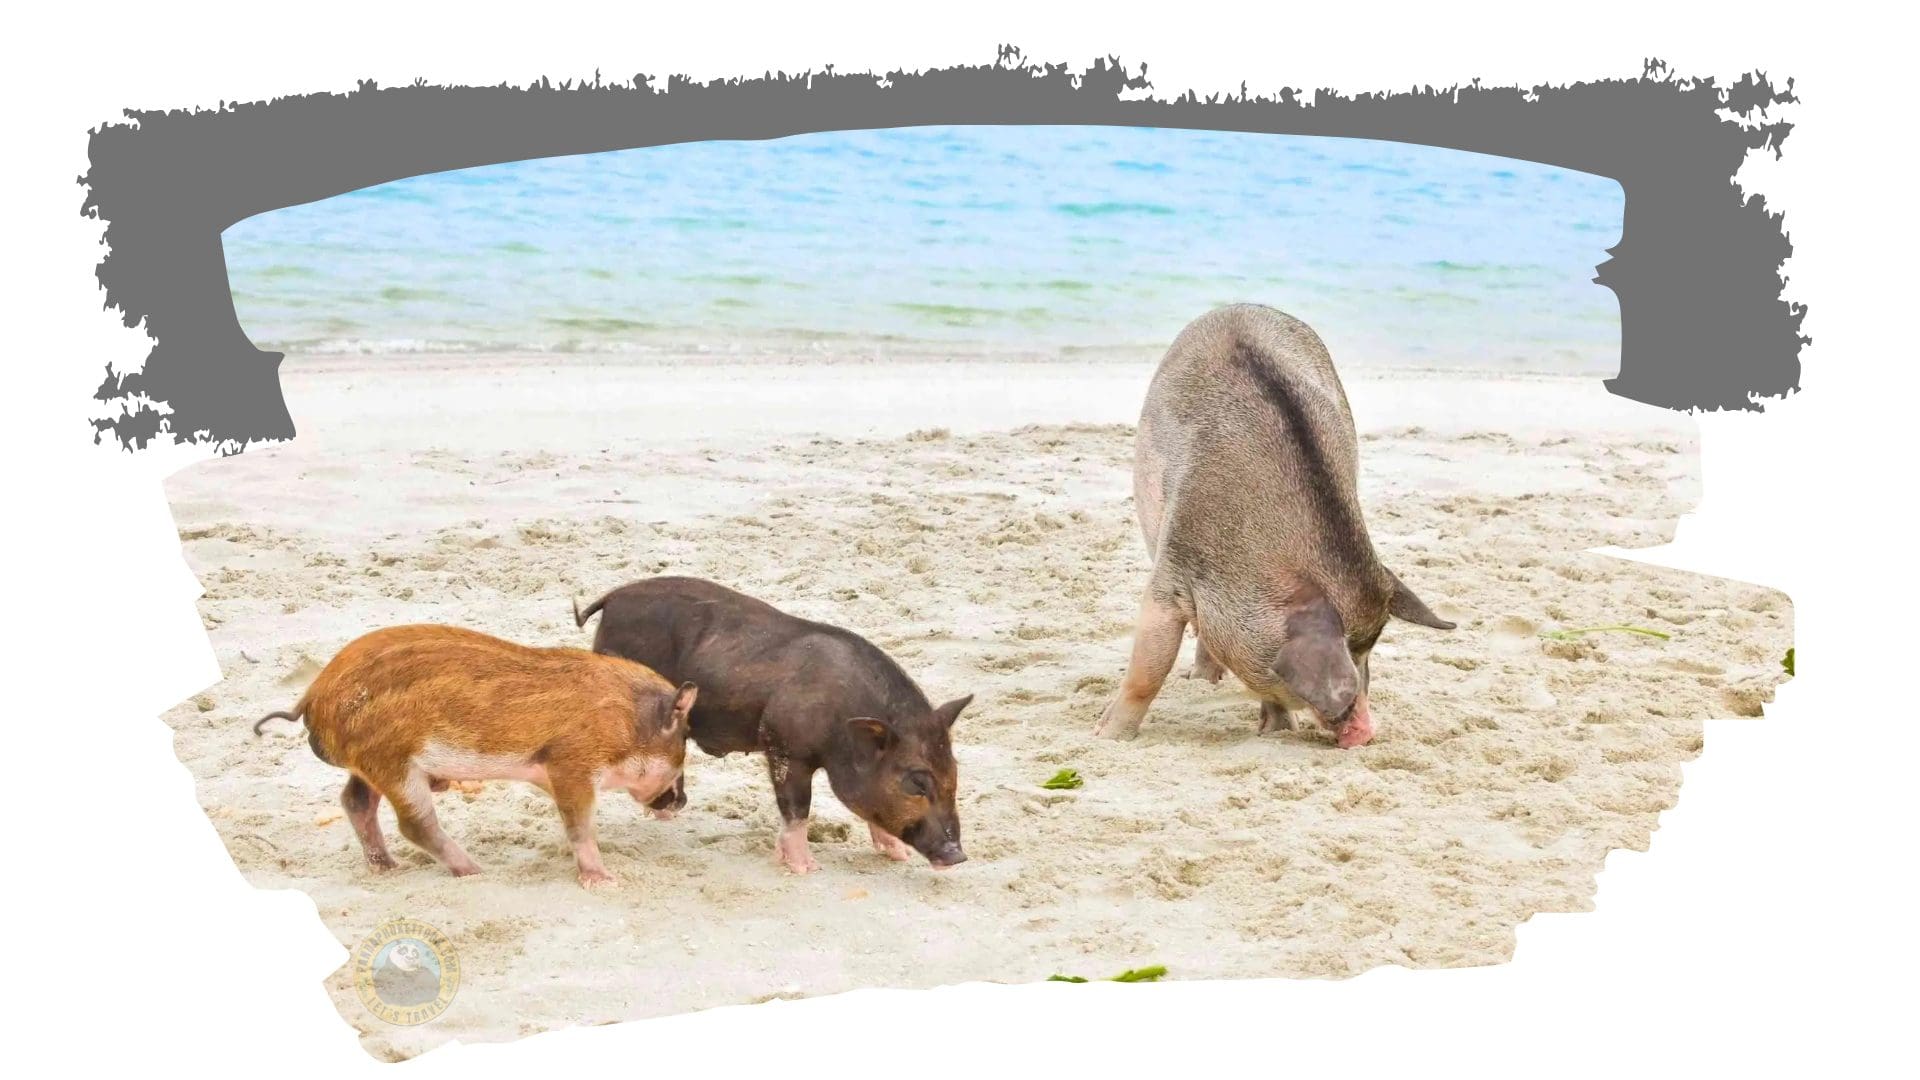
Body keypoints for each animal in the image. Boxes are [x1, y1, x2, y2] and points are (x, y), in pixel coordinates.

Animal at [253, 624, 697, 888]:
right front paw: (606, 881)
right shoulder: (571, 763)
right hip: (393, 762)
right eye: (684, 741)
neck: (625, 721)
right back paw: (476, 872)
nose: (682, 801)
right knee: (414, 824)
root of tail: (312, 695)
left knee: (355, 801)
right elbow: (580, 826)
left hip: (369, 765)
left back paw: (388, 869)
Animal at [573, 576, 972, 875]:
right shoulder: (784, 747)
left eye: (954, 772)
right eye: (917, 782)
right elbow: (796, 807)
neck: (841, 718)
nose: (958, 856)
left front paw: (897, 856)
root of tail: (613, 597)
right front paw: (805, 868)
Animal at [1092, 304, 1456, 747]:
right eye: (1350, 652)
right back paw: (1201, 680)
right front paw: (1105, 736)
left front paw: (1278, 732)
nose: (1367, 732)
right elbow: (1148, 669)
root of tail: (1237, 306)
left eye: (1369, 651)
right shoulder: (1169, 574)